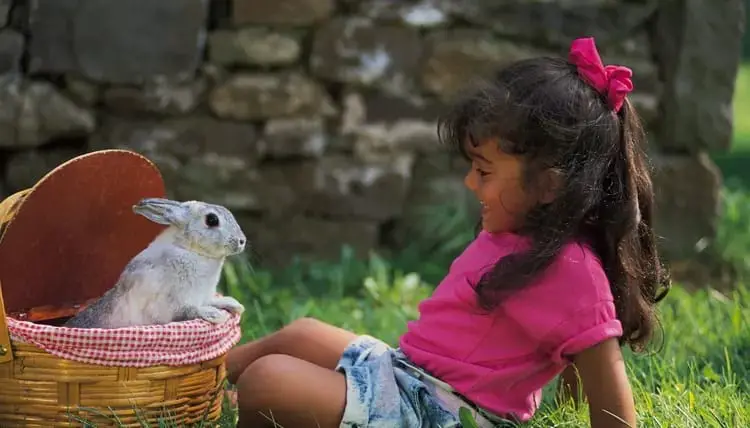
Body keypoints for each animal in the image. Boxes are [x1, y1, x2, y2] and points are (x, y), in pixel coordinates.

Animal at [64, 197, 247, 329]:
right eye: (212, 220)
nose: (242, 241)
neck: (189, 249)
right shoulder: (173, 304)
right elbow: (190, 311)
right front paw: (215, 315)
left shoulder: (203, 295)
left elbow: (212, 300)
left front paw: (235, 305)